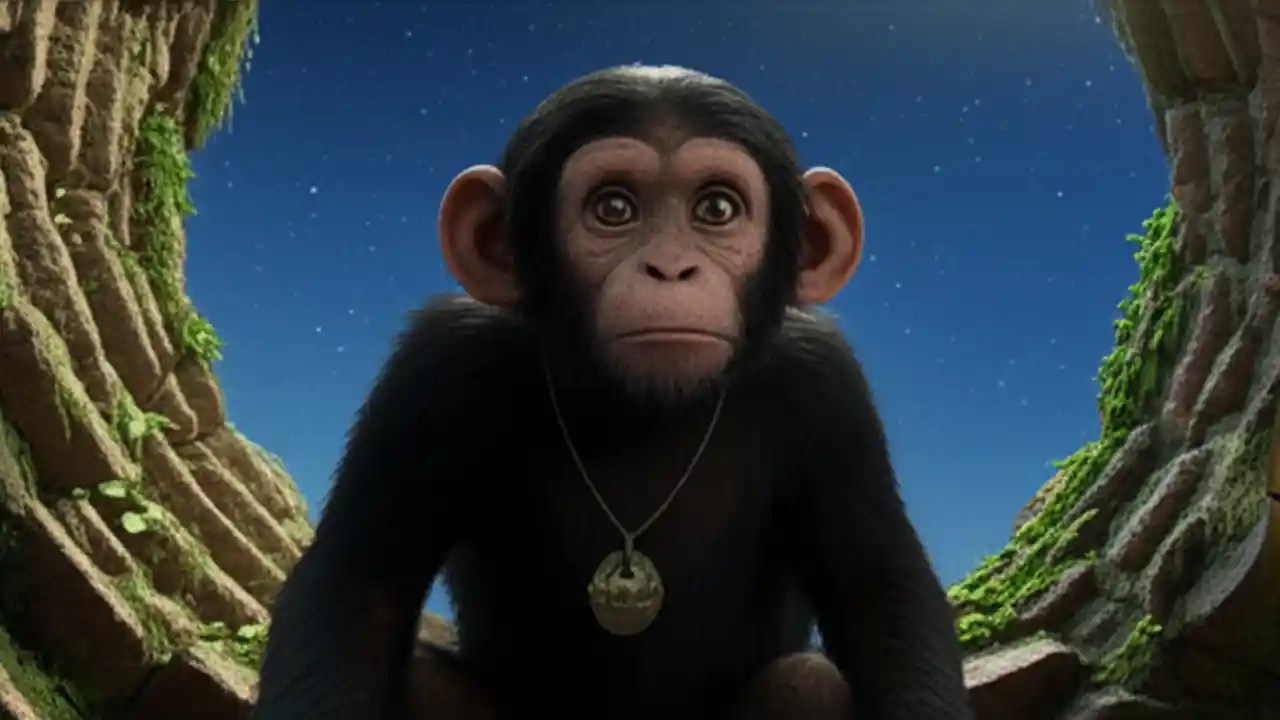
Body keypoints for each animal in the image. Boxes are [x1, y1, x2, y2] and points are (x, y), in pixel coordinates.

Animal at [253, 64, 975, 720]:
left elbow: (878, 591)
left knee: (806, 684)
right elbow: (357, 588)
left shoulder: (825, 382)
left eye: (717, 208)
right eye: (614, 208)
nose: (670, 268)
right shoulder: (439, 366)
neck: (643, 409)